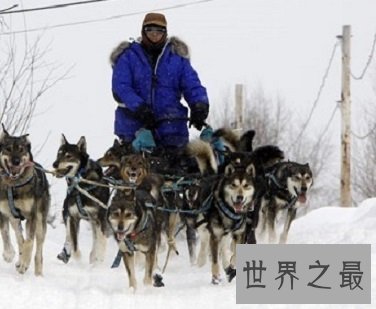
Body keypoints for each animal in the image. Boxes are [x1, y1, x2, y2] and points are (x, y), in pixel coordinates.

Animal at [52, 134, 110, 264]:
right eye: (59, 153)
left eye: (68, 156)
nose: (54, 164)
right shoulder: (73, 217)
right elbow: (75, 246)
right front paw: (79, 261)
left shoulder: (101, 219)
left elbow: (101, 241)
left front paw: (98, 261)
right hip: (67, 212)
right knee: (68, 235)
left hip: (95, 221)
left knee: (97, 239)